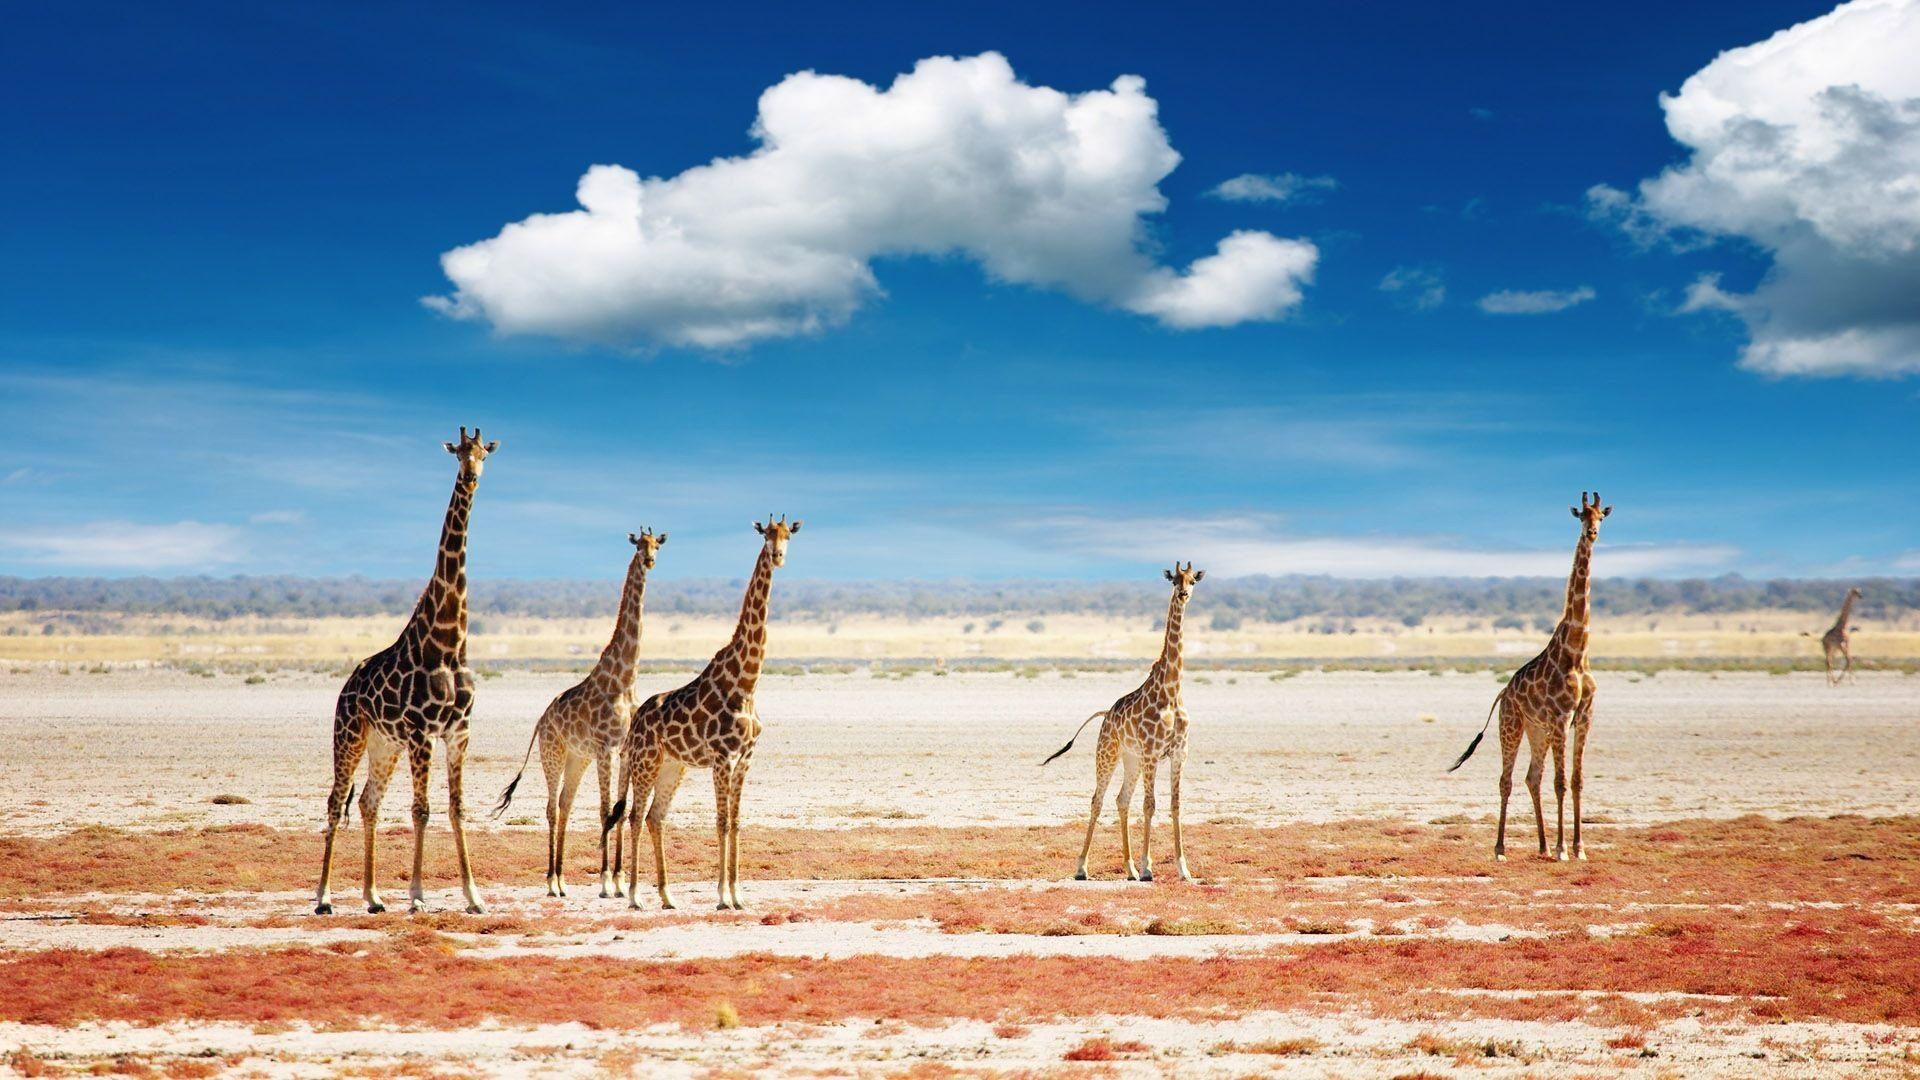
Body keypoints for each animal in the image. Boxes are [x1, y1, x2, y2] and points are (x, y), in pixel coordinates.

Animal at [315, 427, 496, 915]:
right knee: (336, 799)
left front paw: (474, 896)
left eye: (484, 453)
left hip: (384, 745)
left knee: (368, 803)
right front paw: (416, 895)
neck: (449, 643)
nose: (471, 477)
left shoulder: (459, 732)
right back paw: (323, 897)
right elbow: (422, 810)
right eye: (458, 453)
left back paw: (374, 896)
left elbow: (456, 808)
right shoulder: (421, 732)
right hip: (350, 734)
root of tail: (346, 687)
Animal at [494, 529, 667, 898]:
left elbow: (620, 810)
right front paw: (604, 881)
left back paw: (561, 880)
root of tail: (540, 721)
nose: (649, 560)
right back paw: (551, 881)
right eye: (638, 545)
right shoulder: (605, 748)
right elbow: (604, 809)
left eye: (657, 545)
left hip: (578, 758)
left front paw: (618, 879)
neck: (624, 679)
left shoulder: (624, 749)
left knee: (565, 804)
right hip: (553, 753)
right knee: (551, 807)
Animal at [603, 515, 799, 910]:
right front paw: (723, 896)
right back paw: (634, 896)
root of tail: (635, 726)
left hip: (672, 766)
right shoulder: (722, 757)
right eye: (766, 535)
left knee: (655, 818)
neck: (747, 683)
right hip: (646, 762)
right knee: (634, 817)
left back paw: (667, 896)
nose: (778, 555)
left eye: (789, 535)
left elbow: (736, 822)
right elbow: (721, 822)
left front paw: (739, 895)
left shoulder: (745, 758)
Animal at [1043, 562, 1204, 883]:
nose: (1184, 594)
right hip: (1108, 753)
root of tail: (1106, 714)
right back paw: (1082, 868)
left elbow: (1176, 805)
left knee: (1121, 799)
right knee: (1098, 799)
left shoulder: (1179, 753)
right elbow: (1150, 805)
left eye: (1193, 580)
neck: (1172, 691)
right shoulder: (1153, 752)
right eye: (1174, 581)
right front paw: (1148, 868)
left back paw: (1128, 869)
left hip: (1131, 759)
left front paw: (1184, 869)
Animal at [1449, 492, 1610, 862]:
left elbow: (1576, 781)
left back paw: (1541, 845)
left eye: (1602, 516)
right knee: (1507, 780)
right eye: (1581, 516)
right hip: (1512, 725)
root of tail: (1503, 693)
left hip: (1538, 730)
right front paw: (1564, 849)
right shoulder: (1562, 716)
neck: (1577, 651)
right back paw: (1501, 848)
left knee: (1531, 777)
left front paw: (1578, 848)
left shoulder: (1584, 716)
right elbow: (1560, 783)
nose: (1592, 533)